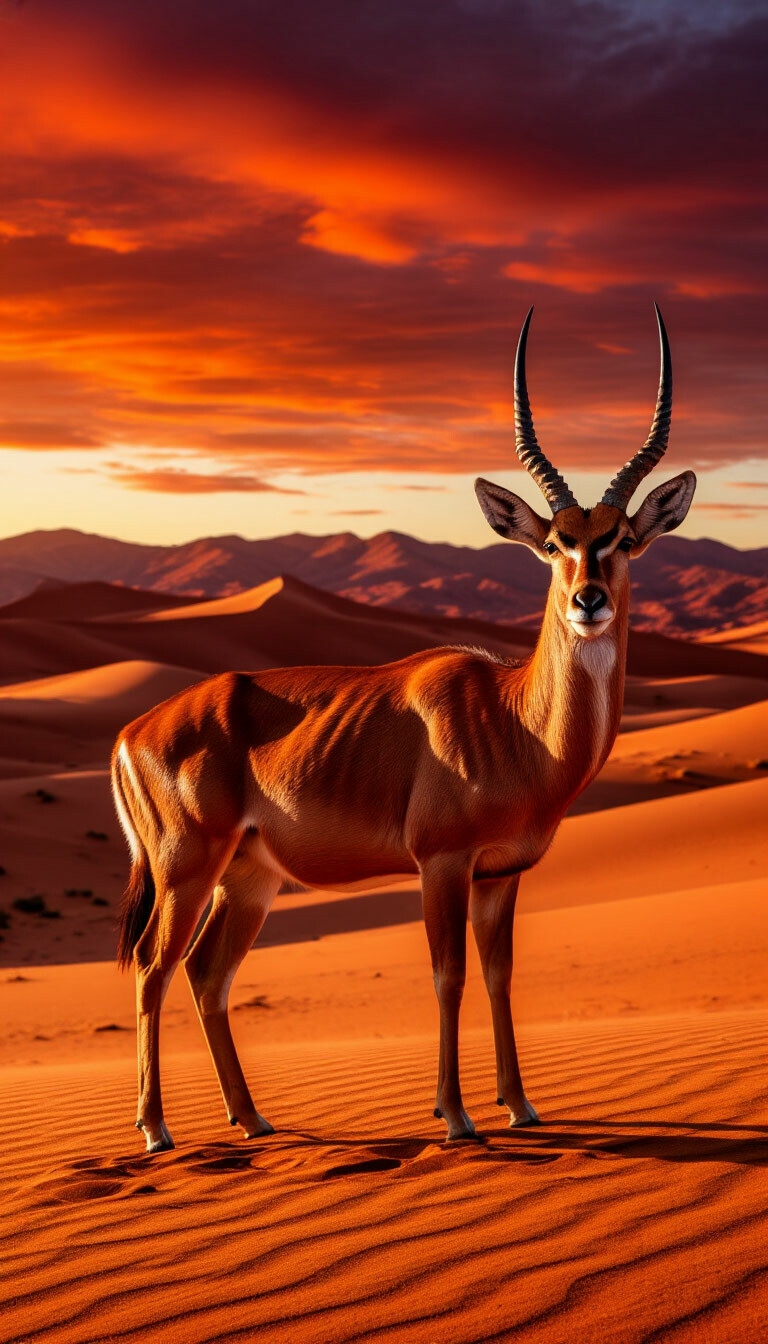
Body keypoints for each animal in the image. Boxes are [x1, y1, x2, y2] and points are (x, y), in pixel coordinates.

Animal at [113, 306, 695, 1153]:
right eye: (555, 541)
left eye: (622, 537)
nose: (587, 600)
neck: (517, 720)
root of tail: (132, 732)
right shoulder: (441, 863)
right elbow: (447, 975)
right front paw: (455, 1116)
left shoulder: (501, 873)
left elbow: (499, 974)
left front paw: (521, 1107)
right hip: (184, 867)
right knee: (155, 967)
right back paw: (157, 1130)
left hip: (248, 876)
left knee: (206, 973)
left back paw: (253, 1119)